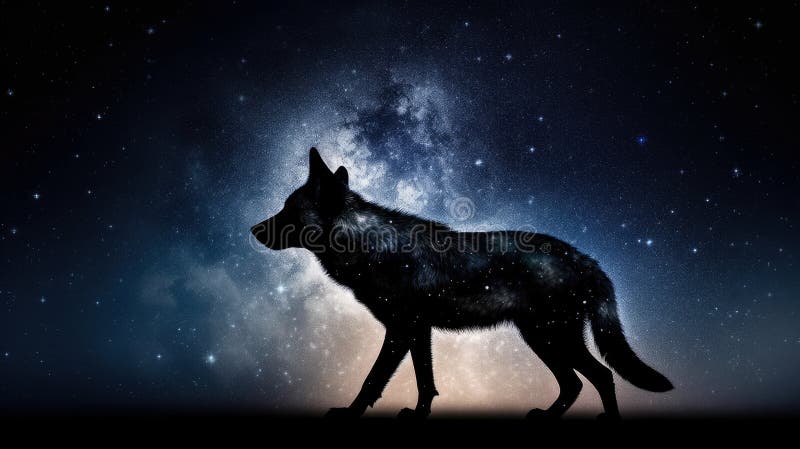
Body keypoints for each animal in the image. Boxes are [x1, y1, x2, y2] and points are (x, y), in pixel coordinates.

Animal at [251, 147, 673, 420]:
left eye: (288, 210)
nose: (253, 230)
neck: (368, 244)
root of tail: (587, 260)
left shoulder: (401, 330)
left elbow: (373, 379)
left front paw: (350, 412)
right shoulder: (419, 331)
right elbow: (425, 380)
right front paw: (419, 413)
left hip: (550, 338)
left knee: (600, 376)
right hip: (543, 339)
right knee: (575, 383)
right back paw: (548, 416)